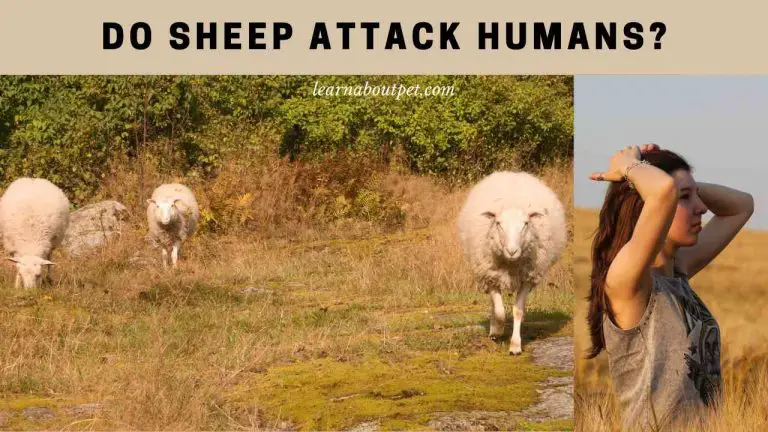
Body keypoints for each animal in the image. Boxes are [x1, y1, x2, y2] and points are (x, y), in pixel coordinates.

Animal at [457, 171, 566, 355]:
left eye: (526, 223)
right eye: (498, 223)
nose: (512, 251)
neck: (510, 264)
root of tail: (512, 173)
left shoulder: (528, 278)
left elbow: (518, 311)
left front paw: (515, 345)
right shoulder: (490, 275)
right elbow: (500, 311)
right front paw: (497, 332)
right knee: (494, 305)